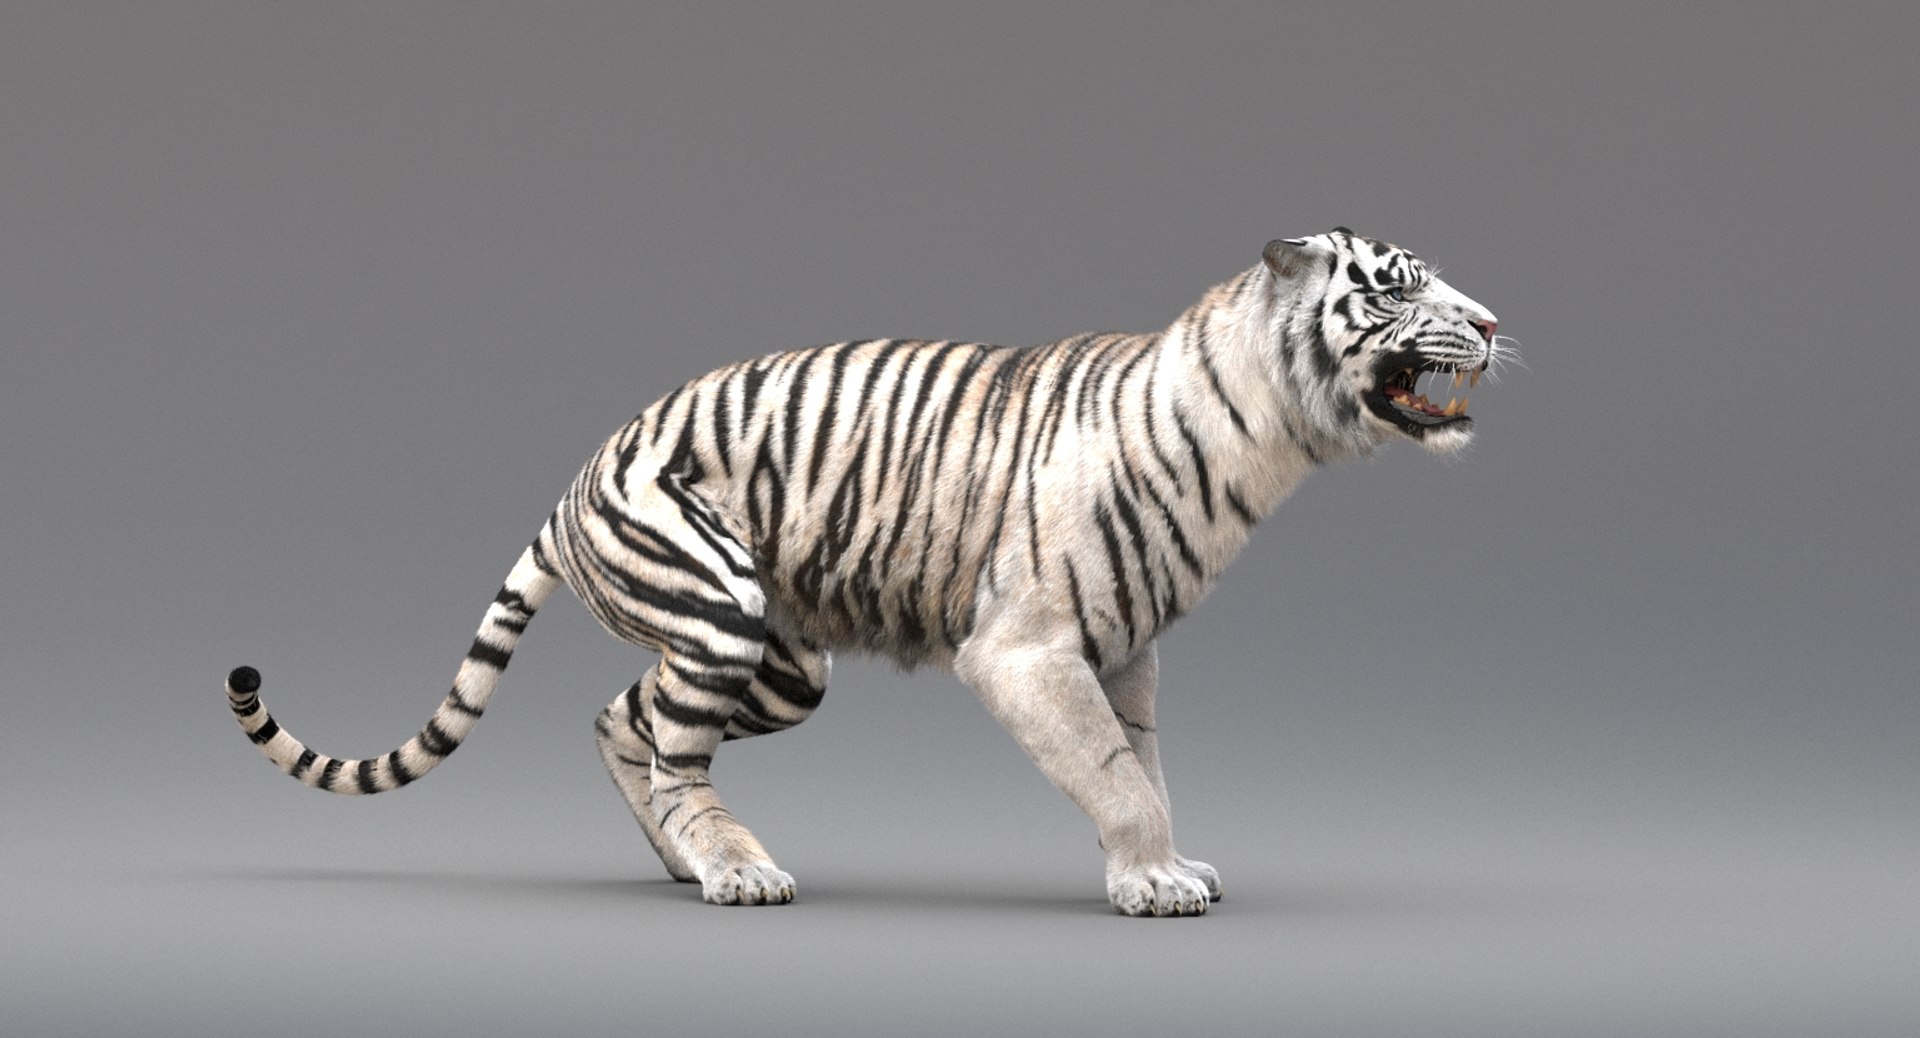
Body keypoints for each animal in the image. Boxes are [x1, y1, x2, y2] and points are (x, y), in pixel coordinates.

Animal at [225, 227, 1511, 916]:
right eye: (1398, 282)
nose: (1495, 324)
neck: (1267, 441)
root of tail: (576, 479)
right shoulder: (1027, 648)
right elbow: (1115, 773)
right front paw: (1152, 883)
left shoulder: (1126, 650)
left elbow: (1143, 764)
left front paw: (1161, 865)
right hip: (719, 605)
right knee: (669, 744)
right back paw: (736, 872)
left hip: (779, 662)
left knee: (624, 720)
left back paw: (686, 857)